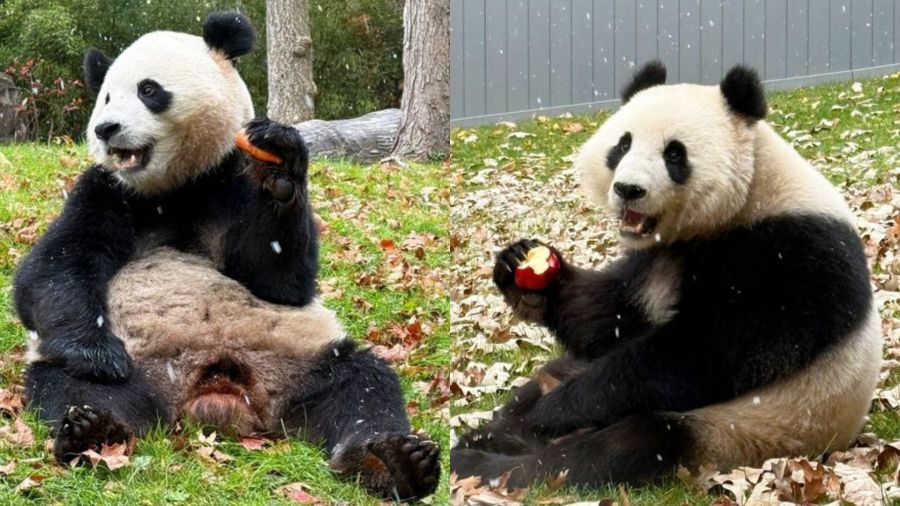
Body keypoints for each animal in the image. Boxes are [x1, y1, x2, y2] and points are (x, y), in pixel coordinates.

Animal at [14, 12, 438, 500]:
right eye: (104, 97)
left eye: (148, 90)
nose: (106, 129)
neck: (176, 185)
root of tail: (216, 389)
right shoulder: (107, 191)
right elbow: (53, 267)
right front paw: (97, 352)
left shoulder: (230, 179)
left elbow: (281, 281)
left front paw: (281, 163)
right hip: (138, 366)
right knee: (72, 385)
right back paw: (93, 430)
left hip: (305, 360)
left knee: (363, 383)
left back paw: (390, 461)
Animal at [451, 62, 881, 488]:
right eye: (622, 145)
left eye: (674, 154)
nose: (628, 189)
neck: (751, 194)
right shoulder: (653, 260)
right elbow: (613, 316)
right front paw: (524, 272)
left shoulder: (786, 258)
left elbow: (698, 351)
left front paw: (555, 410)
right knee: (540, 385)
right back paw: (489, 439)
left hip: (745, 428)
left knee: (627, 445)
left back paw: (496, 463)